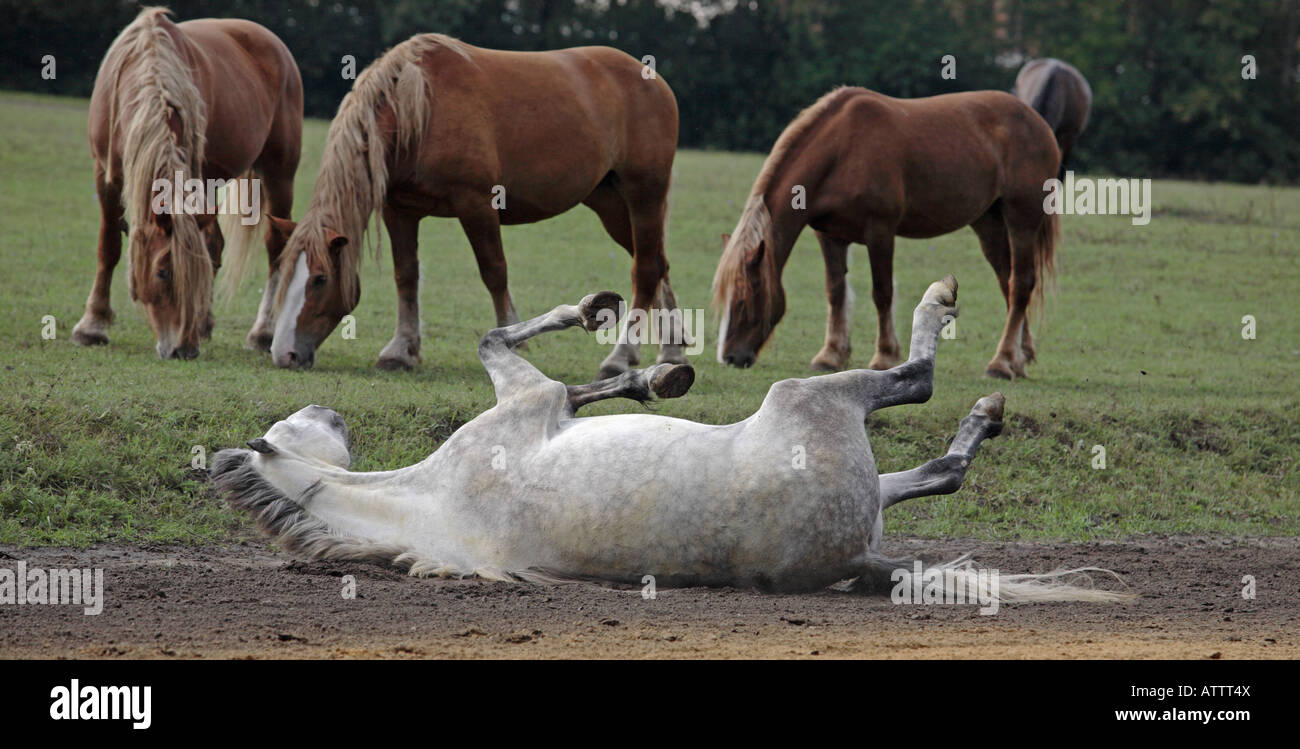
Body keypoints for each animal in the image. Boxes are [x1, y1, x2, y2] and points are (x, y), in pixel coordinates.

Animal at [72, 6, 302, 360]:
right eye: (162, 272)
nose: (184, 349)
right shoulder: (105, 174)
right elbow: (108, 247)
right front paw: (92, 324)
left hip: (280, 174)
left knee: (276, 246)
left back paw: (262, 332)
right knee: (215, 241)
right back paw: (207, 323)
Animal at [212, 275, 1129, 602]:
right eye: (288, 426)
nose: (326, 411)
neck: (426, 501)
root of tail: (859, 558)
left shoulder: (541, 403)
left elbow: (546, 360)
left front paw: (643, 367)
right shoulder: (532, 398)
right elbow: (496, 339)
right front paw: (607, 322)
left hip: (863, 488)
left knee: (938, 468)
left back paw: (976, 416)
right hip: (812, 403)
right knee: (918, 386)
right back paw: (946, 328)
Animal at [262, 34, 686, 378]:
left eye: (320, 280)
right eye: (284, 275)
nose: (284, 354)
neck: (419, 107)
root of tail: (655, 81)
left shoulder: (476, 205)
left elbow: (494, 272)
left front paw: (516, 338)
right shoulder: (400, 210)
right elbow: (406, 276)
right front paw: (400, 351)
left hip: (644, 194)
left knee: (646, 271)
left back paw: (620, 357)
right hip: (609, 203)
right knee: (660, 264)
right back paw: (672, 351)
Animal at [711, 86, 1061, 380]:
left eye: (744, 300)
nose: (729, 358)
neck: (840, 150)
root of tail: (1039, 123)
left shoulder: (880, 232)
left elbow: (882, 293)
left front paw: (884, 356)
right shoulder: (830, 236)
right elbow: (835, 291)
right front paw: (830, 355)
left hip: (1021, 221)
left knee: (1021, 285)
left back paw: (1001, 363)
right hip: (988, 224)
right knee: (1008, 283)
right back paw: (1019, 358)